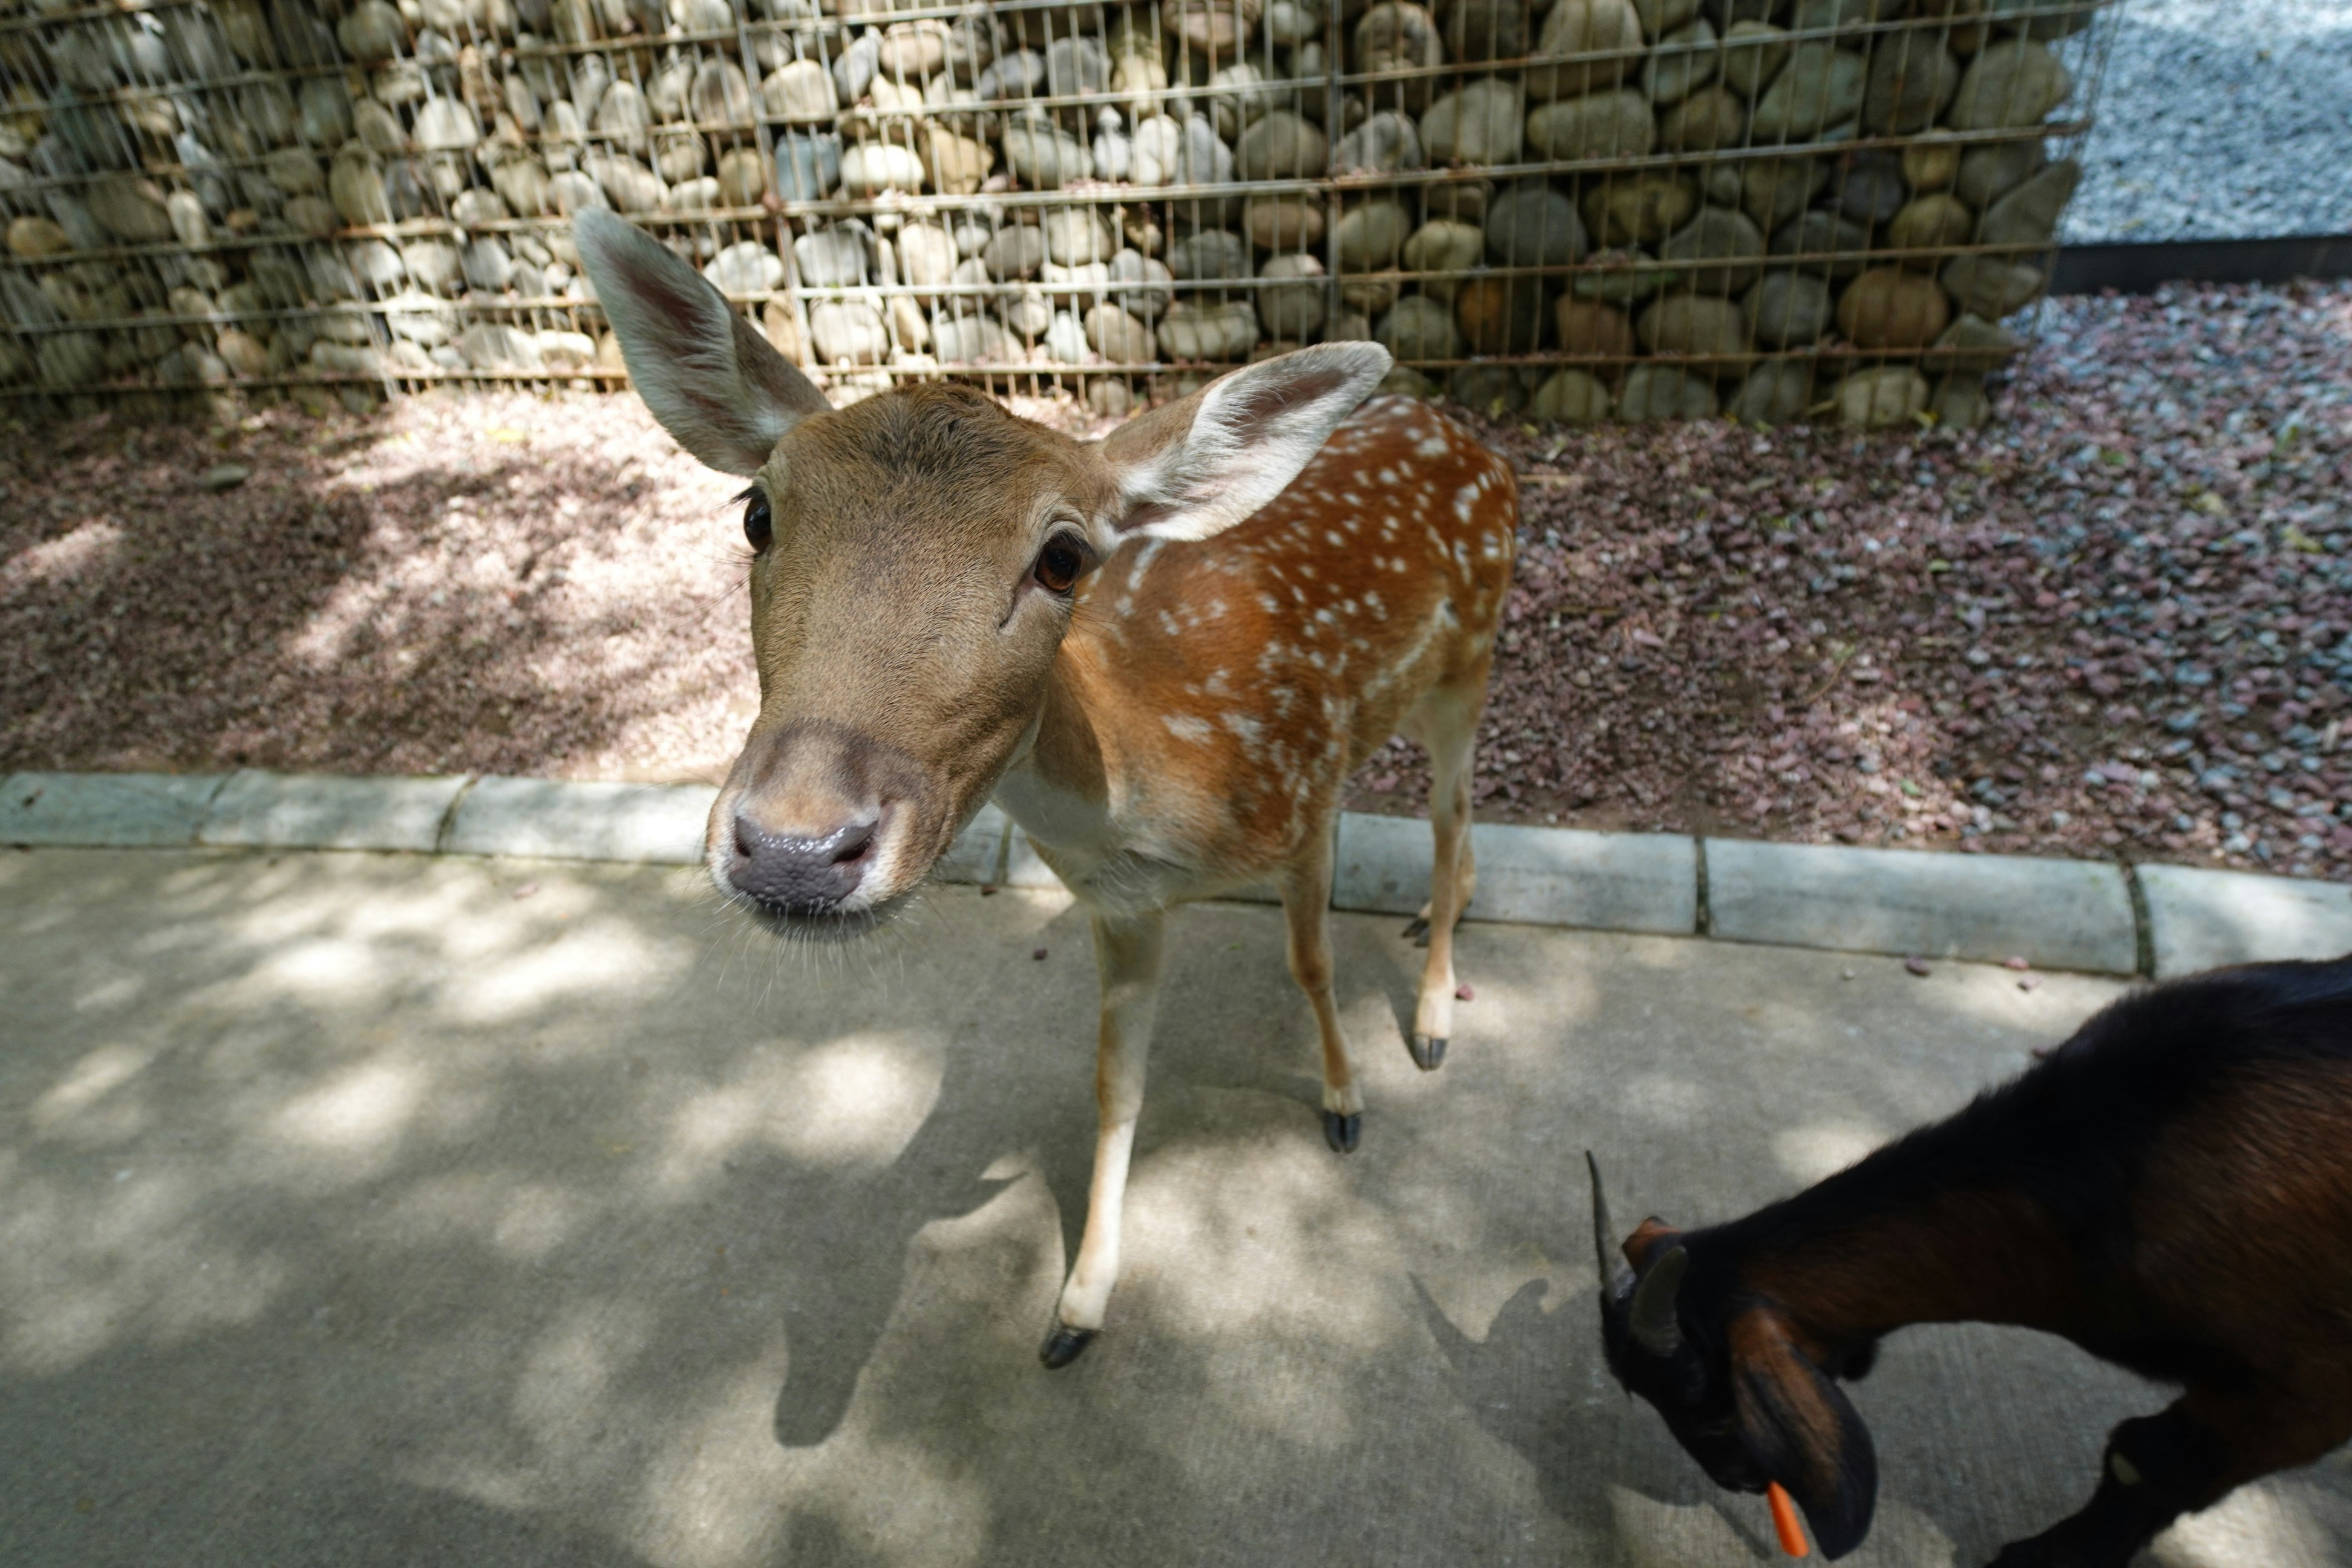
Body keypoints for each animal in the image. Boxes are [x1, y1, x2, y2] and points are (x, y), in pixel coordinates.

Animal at [573, 209, 1518, 1367]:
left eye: (1064, 557)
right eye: (756, 513)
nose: (796, 848)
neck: (1163, 781)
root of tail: (1470, 436)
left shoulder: (1300, 798)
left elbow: (1309, 961)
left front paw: (1345, 1101)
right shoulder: (1124, 903)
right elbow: (1115, 1081)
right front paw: (1078, 1301)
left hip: (1471, 658)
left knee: (1451, 814)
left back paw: (1431, 1018)